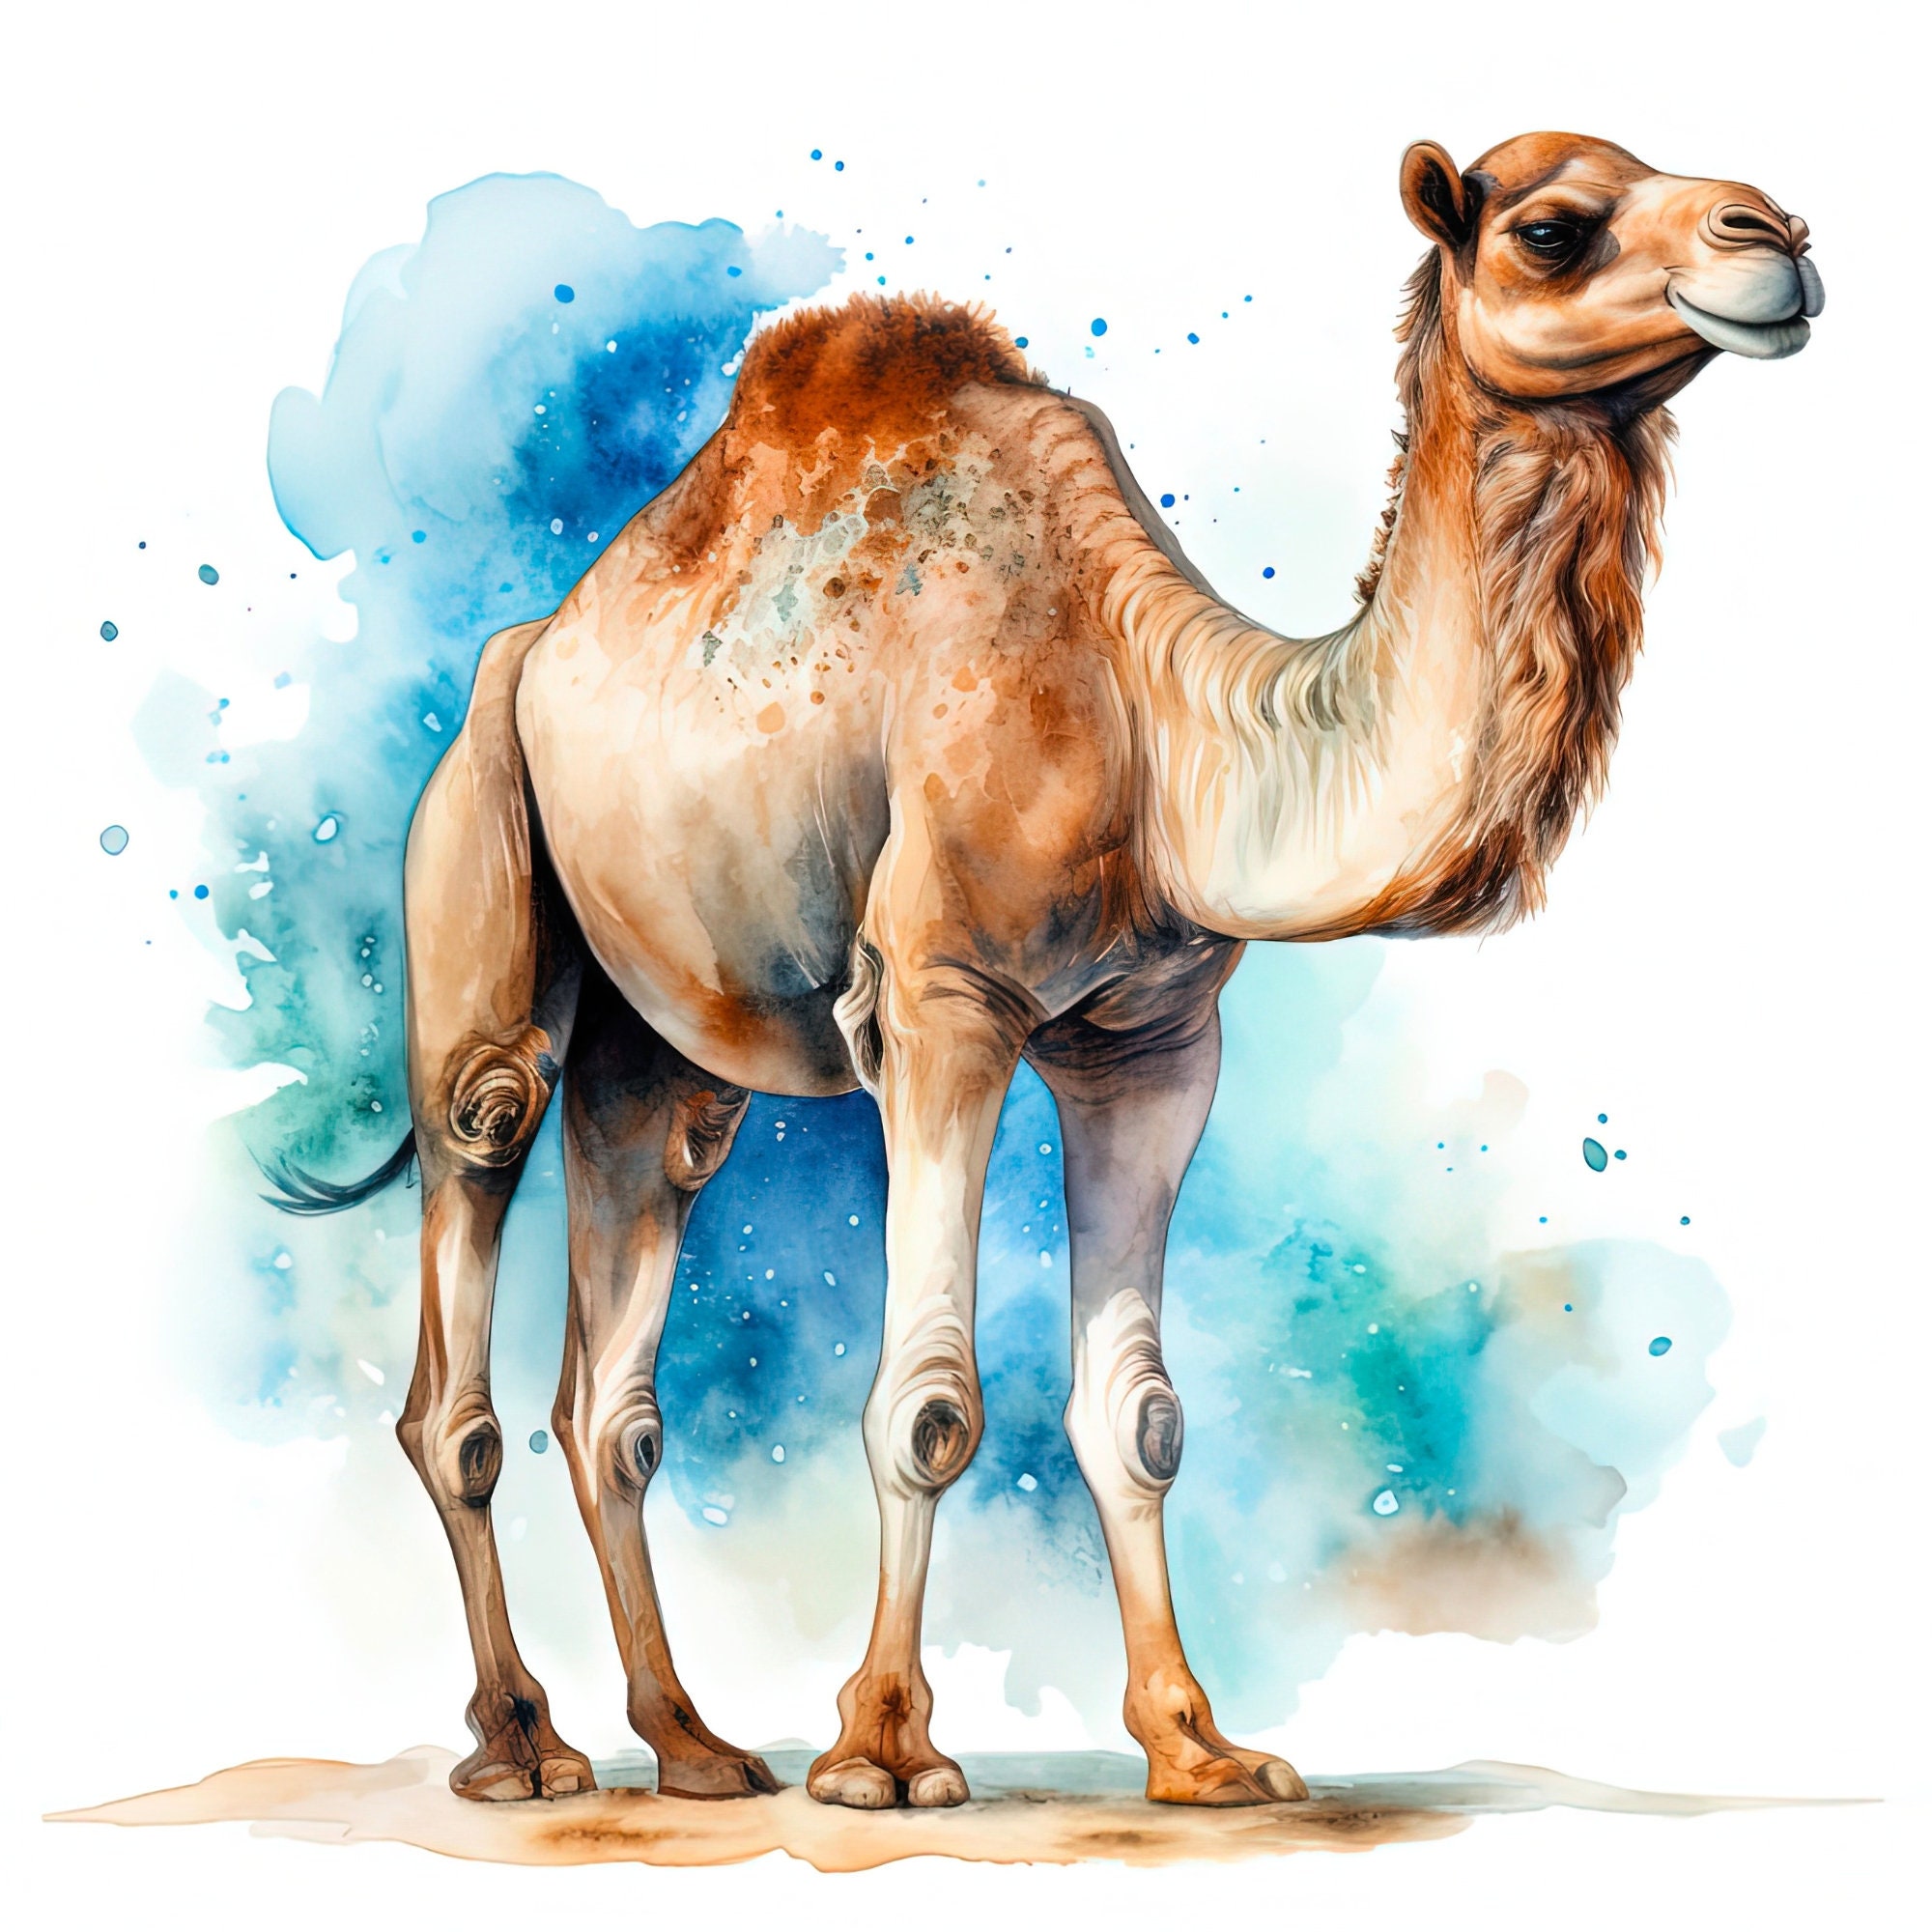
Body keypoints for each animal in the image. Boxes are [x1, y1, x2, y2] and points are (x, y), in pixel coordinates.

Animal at [269, 131, 1820, 1810]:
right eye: (1551, 228)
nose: (1778, 239)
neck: (1163, 726)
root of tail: (530, 646)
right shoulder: (939, 998)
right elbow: (930, 1404)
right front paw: (882, 1752)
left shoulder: (1147, 1043)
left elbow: (1139, 1415)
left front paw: (1200, 1750)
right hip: (473, 844)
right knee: (473, 1245)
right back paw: (524, 1747)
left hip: (662, 1033)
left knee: (614, 1357)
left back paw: (692, 1745)